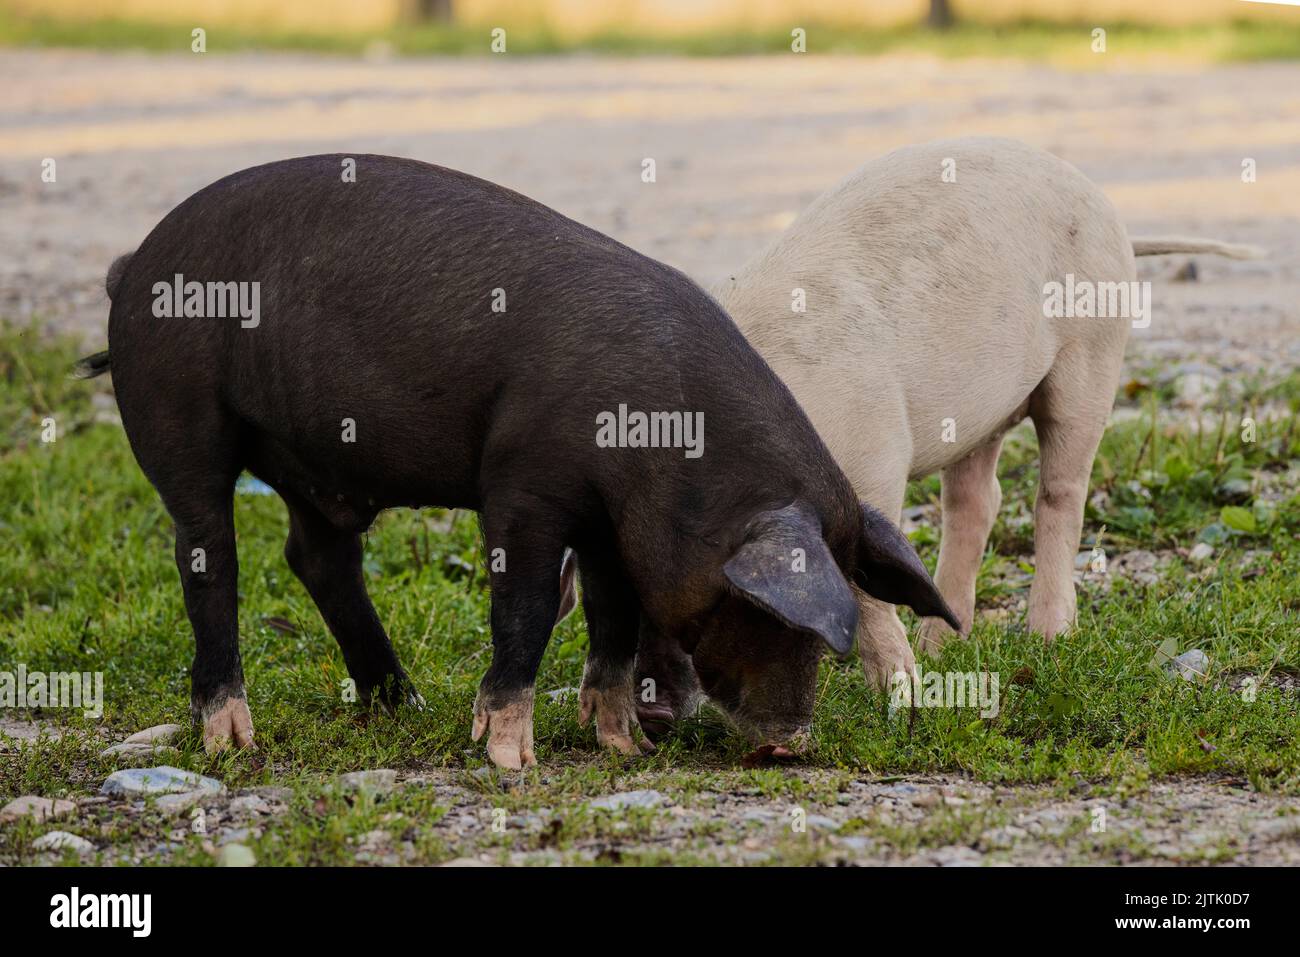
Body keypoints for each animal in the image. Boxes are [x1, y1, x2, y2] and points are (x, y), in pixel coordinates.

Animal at [75, 154, 958, 769]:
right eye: (766, 611)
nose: (788, 742)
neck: (660, 445)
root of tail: (131, 266)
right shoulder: (523, 490)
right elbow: (528, 610)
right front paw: (510, 758)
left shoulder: (612, 528)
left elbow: (612, 620)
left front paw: (624, 747)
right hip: (180, 417)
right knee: (207, 554)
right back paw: (235, 740)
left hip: (308, 465)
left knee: (316, 555)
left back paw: (402, 705)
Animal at [634, 137, 1261, 734]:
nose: (653, 713)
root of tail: (1113, 213)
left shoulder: (873, 457)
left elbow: (866, 586)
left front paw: (901, 698)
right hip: (981, 416)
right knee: (977, 503)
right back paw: (942, 645)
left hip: (1094, 352)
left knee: (1061, 491)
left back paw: (1047, 638)